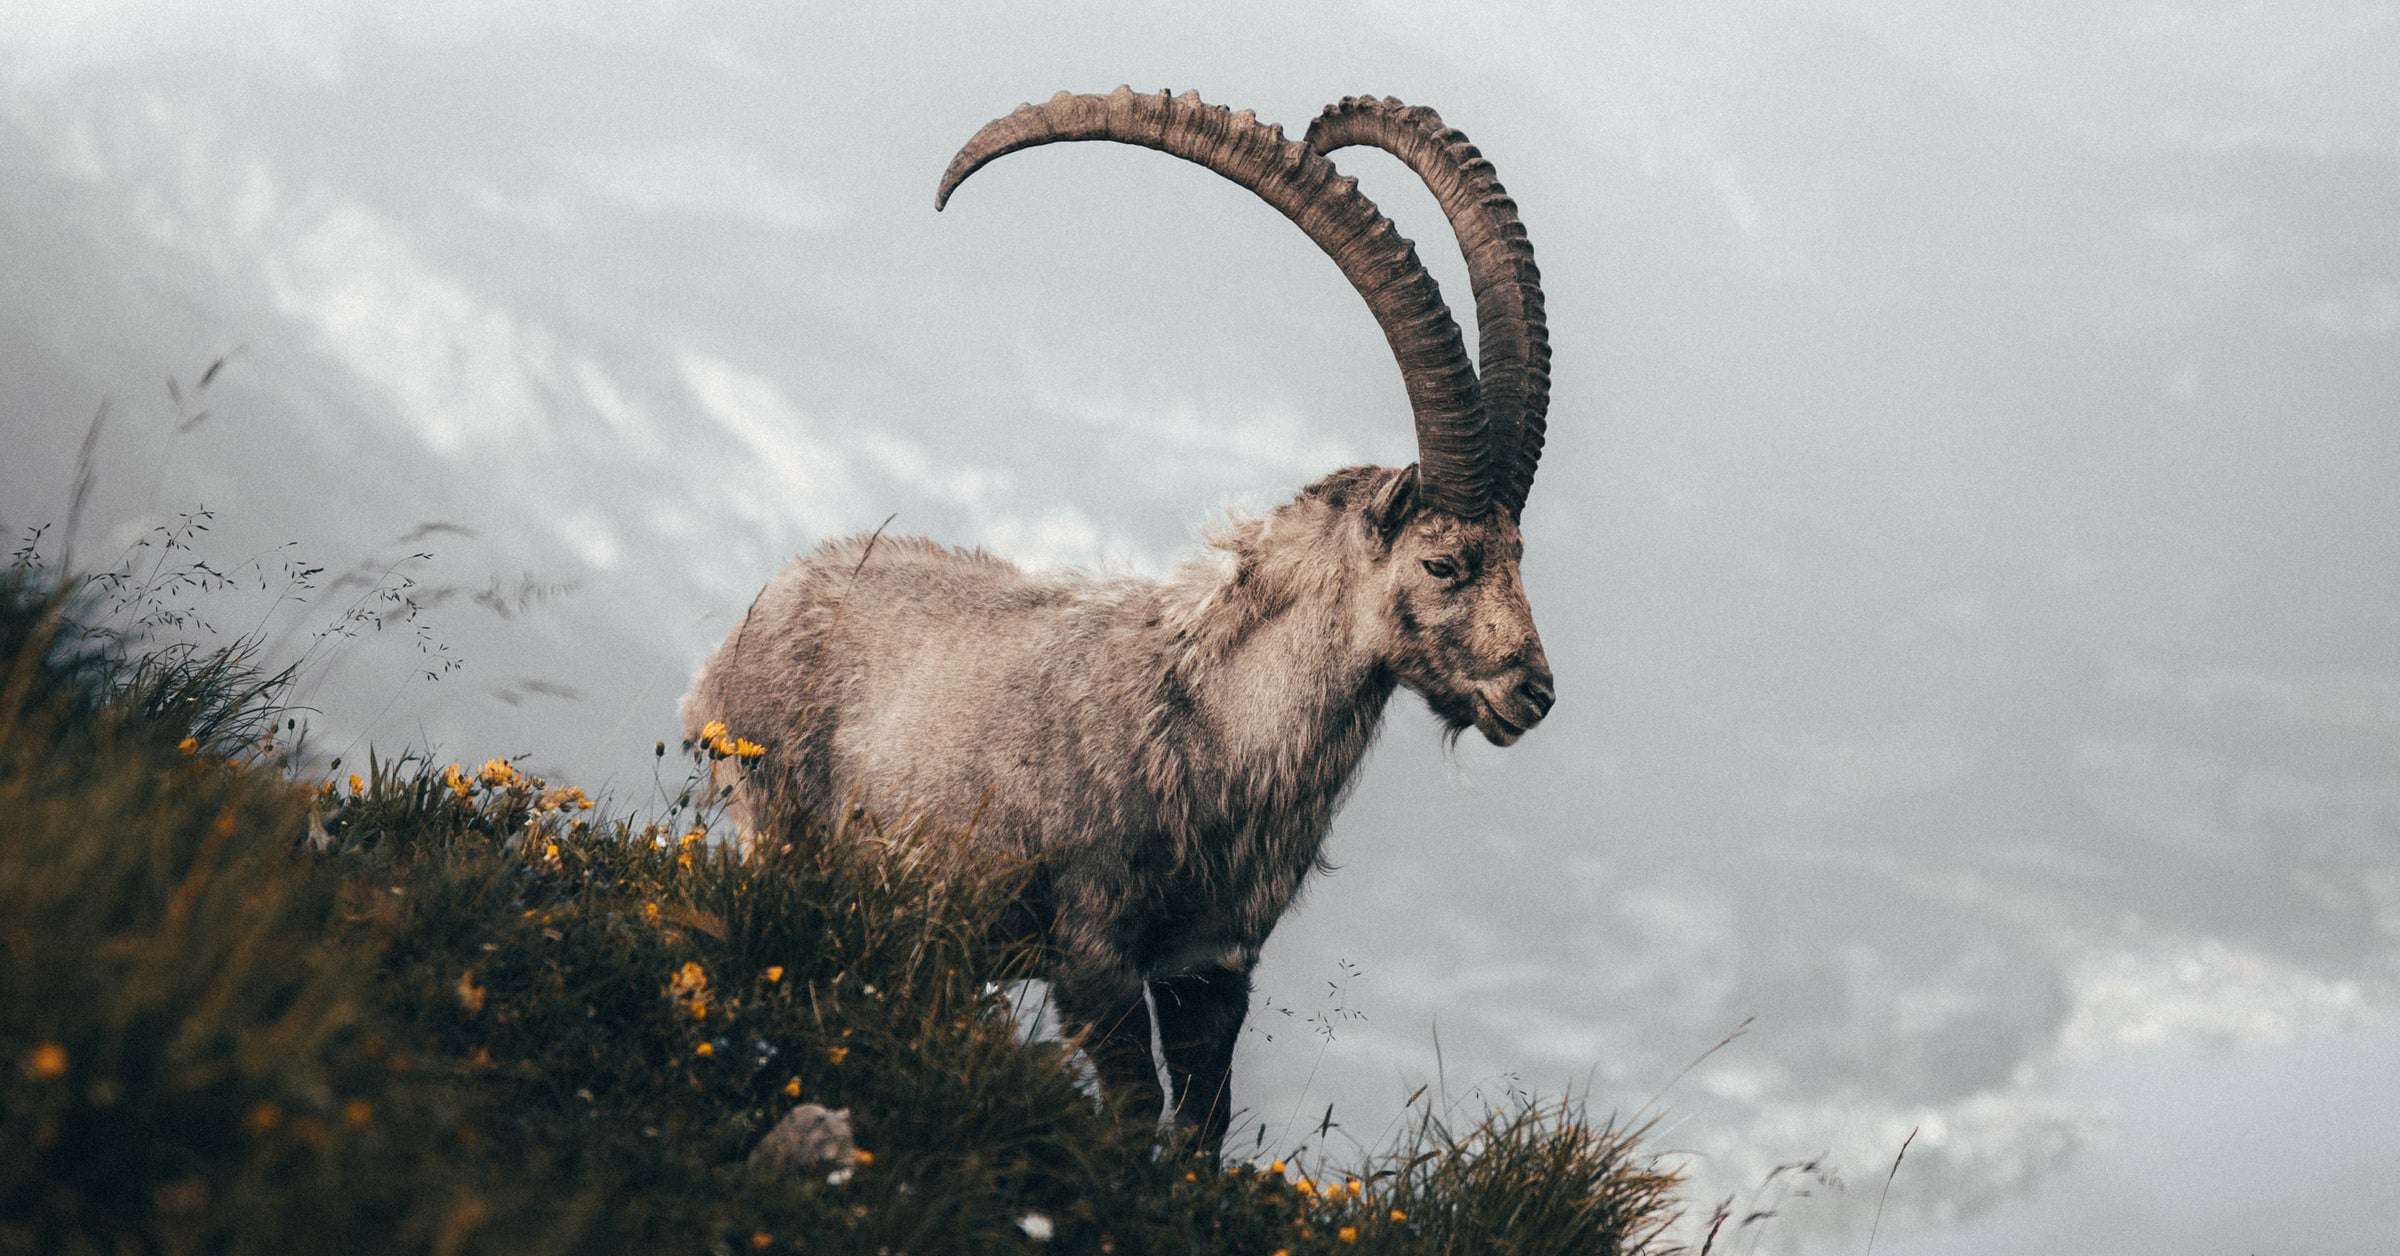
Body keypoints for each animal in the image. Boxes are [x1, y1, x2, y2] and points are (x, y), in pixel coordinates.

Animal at [684, 88, 1555, 1153]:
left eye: (1520, 558)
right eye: (1443, 562)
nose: (1533, 692)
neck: (1212, 728)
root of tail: (744, 631)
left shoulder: (1210, 967)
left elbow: (1200, 1131)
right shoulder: (1093, 952)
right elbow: (1135, 1114)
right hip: (782, 831)